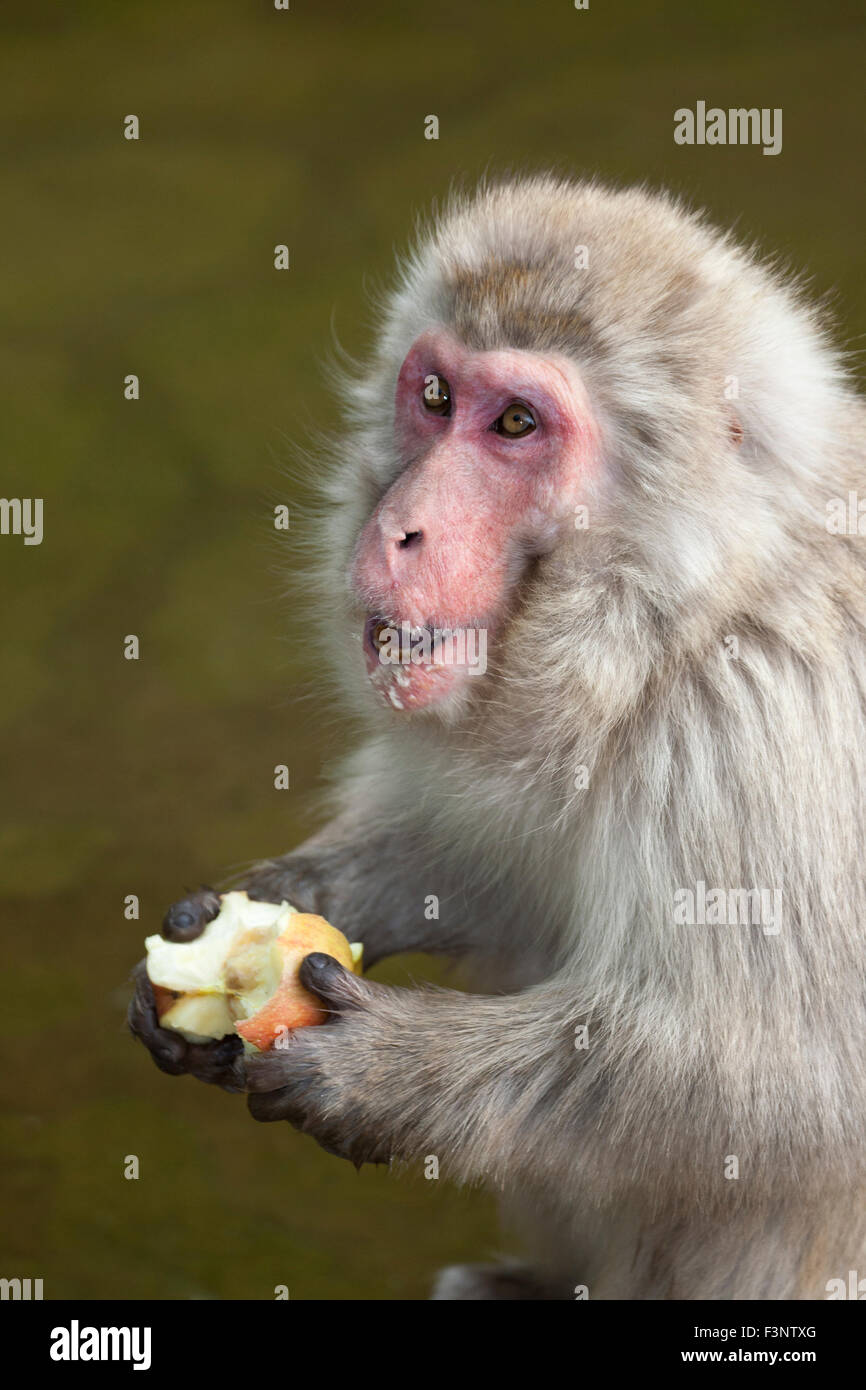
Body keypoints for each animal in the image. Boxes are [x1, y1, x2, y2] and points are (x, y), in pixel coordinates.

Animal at [129, 174, 866, 1300]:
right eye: (435, 397)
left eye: (515, 422)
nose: (398, 529)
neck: (674, 617)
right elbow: (488, 868)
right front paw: (283, 898)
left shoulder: (761, 720)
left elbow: (784, 1077)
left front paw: (383, 1071)